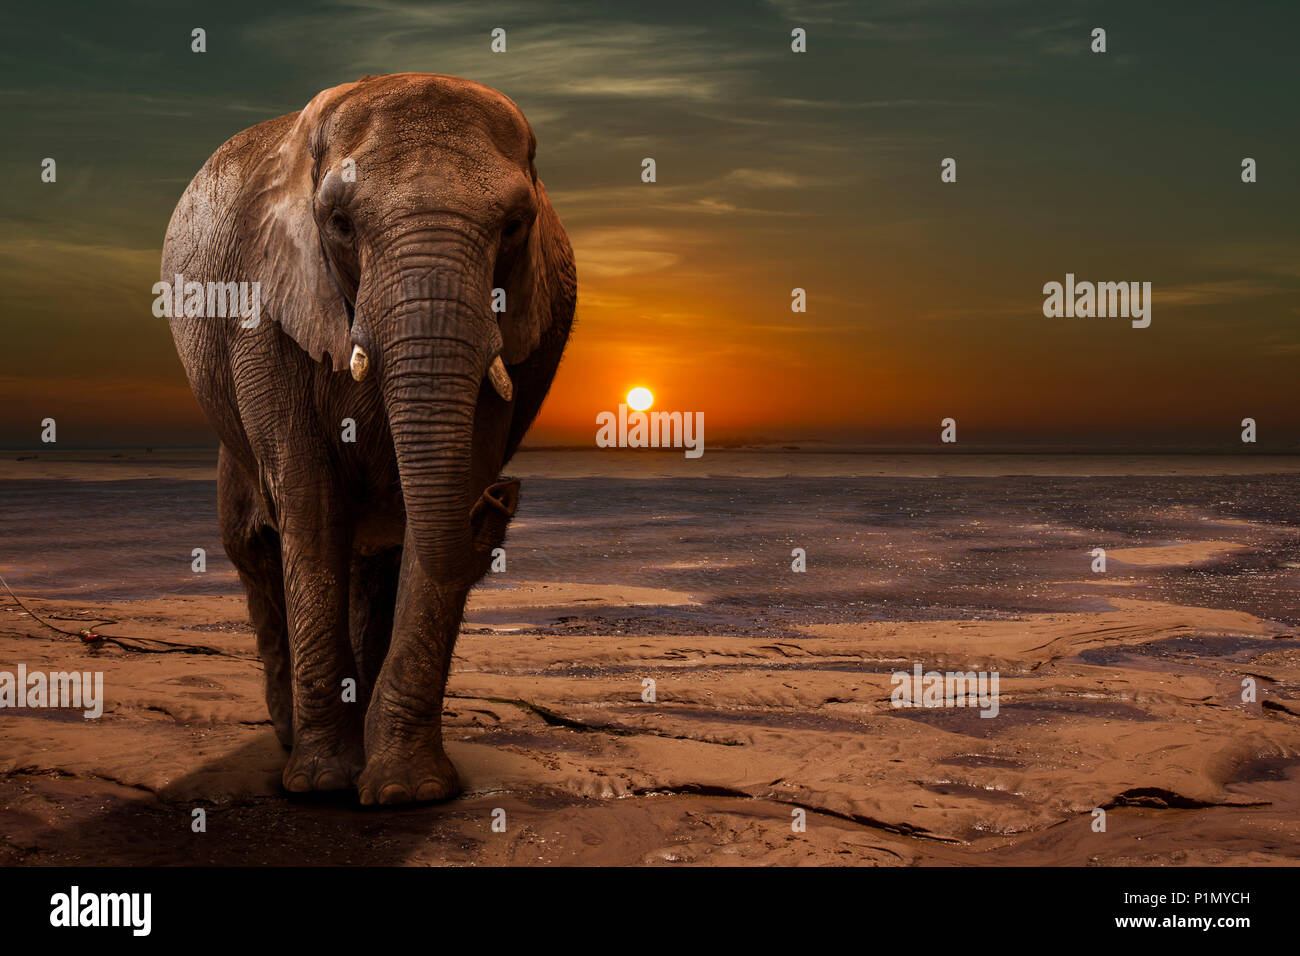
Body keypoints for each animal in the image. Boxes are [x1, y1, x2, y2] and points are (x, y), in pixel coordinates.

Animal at [161, 73, 576, 804]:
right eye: (341, 224)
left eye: (515, 225)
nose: (502, 498)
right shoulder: (263, 313)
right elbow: (310, 502)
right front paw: (323, 784)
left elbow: (434, 504)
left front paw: (406, 792)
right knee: (255, 548)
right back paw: (295, 742)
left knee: (377, 557)